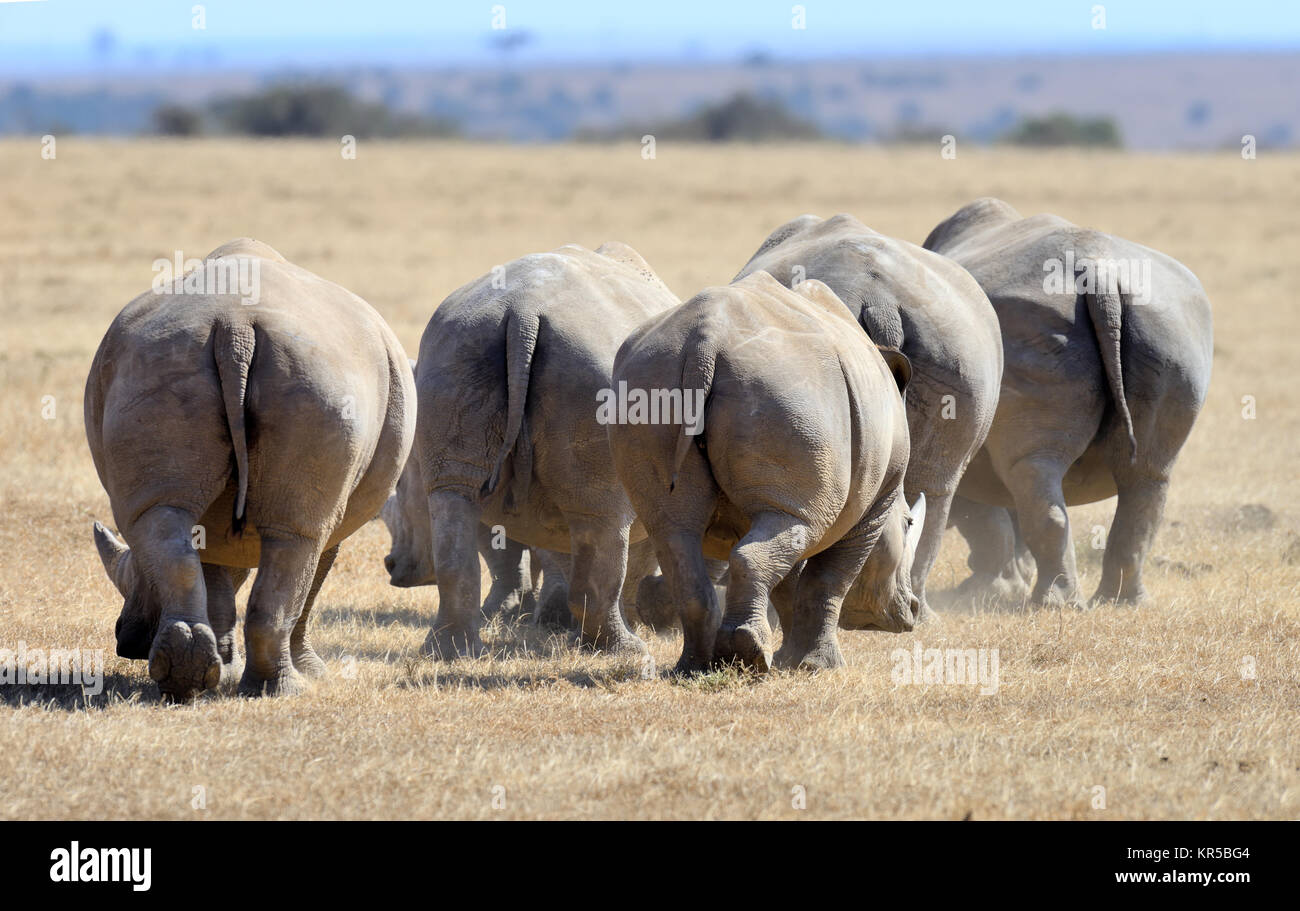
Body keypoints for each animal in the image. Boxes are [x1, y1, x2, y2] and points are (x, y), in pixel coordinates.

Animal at [86, 239, 415, 700]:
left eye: (136, 578)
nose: (125, 642)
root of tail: (235, 326)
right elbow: (305, 579)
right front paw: (303, 675)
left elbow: (230, 581)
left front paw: (223, 672)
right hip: (315, 377)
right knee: (294, 537)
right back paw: (279, 690)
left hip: (161, 362)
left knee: (164, 517)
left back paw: (188, 676)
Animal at [408, 242, 678, 659]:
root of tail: (522, 312)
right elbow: (634, 556)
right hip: (592, 370)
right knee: (601, 518)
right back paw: (625, 650)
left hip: (455, 345)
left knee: (454, 496)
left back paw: (450, 652)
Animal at [609, 271, 924, 674]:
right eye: (908, 524)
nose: (912, 611)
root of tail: (703, 341)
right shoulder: (871, 504)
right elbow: (829, 580)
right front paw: (822, 665)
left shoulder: (805, 501)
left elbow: (789, 580)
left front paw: (791, 659)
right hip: (788, 392)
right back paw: (748, 656)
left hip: (651, 383)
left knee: (673, 531)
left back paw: (695, 666)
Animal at [923, 198, 1213, 605]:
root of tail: (1099, 274)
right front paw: (1003, 583)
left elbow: (980, 516)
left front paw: (984, 590)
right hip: (1169, 328)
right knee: (1148, 475)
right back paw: (1119, 603)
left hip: (1033, 325)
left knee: (1031, 469)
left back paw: (1053, 603)